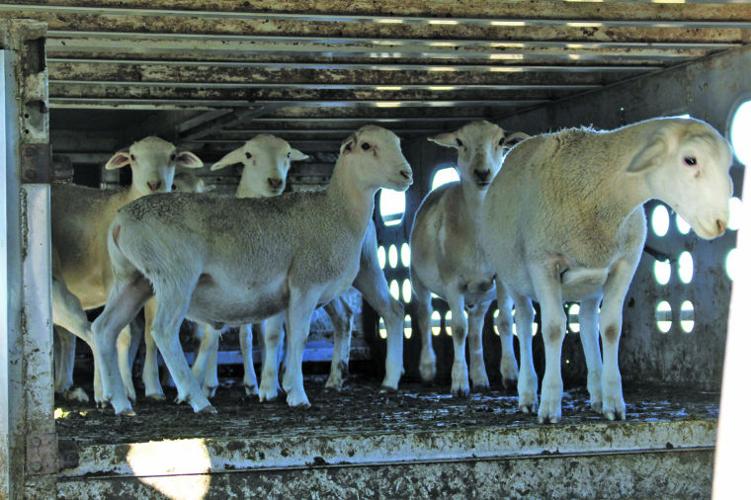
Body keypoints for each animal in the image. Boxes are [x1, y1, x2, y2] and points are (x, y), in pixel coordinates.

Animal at [51, 137, 203, 403]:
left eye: (173, 156)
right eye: (133, 157)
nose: (154, 184)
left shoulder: (154, 287)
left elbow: (149, 335)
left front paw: (153, 387)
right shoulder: (113, 280)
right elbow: (122, 334)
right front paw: (125, 388)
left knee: (66, 335)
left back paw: (66, 385)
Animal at [90, 125, 413, 415]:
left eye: (398, 143)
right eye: (367, 146)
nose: (406, 174)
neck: (337, 212)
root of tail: (120, 220)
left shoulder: (291, 293)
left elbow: (281, 337)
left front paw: (282, 387)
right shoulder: (305, 282)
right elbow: (299, 336)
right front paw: (297, 394)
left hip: (132, 279)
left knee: (104, 329)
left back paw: (120, 403)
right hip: (174, 274)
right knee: (163, 331)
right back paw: (198, 400)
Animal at [410, 120, 528, 396]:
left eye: (500, 141)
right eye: (460, 142)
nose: (482, 172)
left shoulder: (502, 280)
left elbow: (504, 322)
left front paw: (511, 376)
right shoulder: (452, 281)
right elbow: (457, 328)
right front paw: (459, 383)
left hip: (481, 295)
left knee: (476, 329)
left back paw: (481, 378)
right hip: (417, 278)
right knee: (424, 317)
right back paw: (428, 370)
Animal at [479, 117, 733, 423]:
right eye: (690, 159)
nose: (720, 222)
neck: (602, 194)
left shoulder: (625, 263)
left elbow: (611, 327)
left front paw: (613, 401)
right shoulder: (542, 262)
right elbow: (552, 329)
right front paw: (550, 405)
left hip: (591, 284)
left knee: (588, 322)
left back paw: (597, 394)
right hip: (512, 276)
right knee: (526, 321)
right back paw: (528, 393)